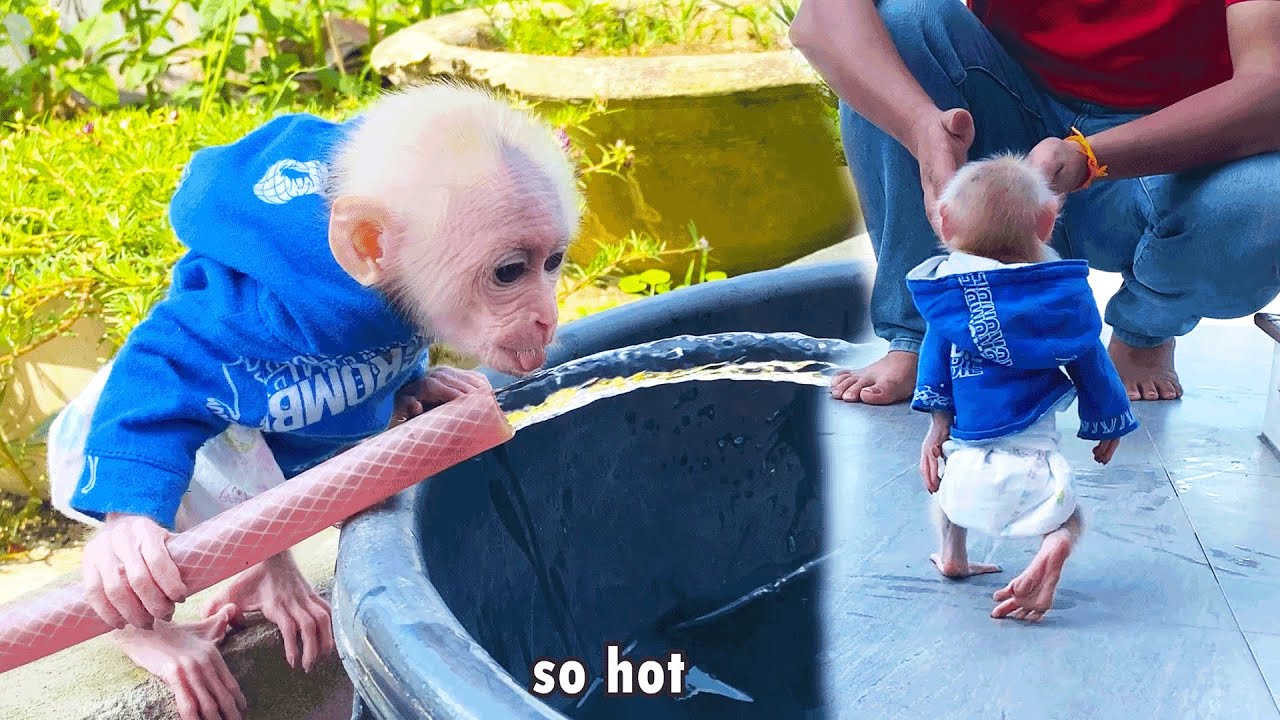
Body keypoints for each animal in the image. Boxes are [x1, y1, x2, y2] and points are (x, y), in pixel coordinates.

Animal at [43, 81, 581, 720]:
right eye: (509, 271)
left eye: (553, 263)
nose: (546, 317)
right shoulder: (271, 309)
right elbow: (168, 359)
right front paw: (128, 540)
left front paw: (427, 387)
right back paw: (164, 630)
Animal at [902, 153, 1138, 623]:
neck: (993, 269)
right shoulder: (1081, 320)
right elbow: (1094, 367)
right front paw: (1109, 438)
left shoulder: (936, 332)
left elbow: (934, 374)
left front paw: (932, 439)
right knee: (1065, 525)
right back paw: (1034, 574)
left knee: (957, 523)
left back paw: (990, 574)